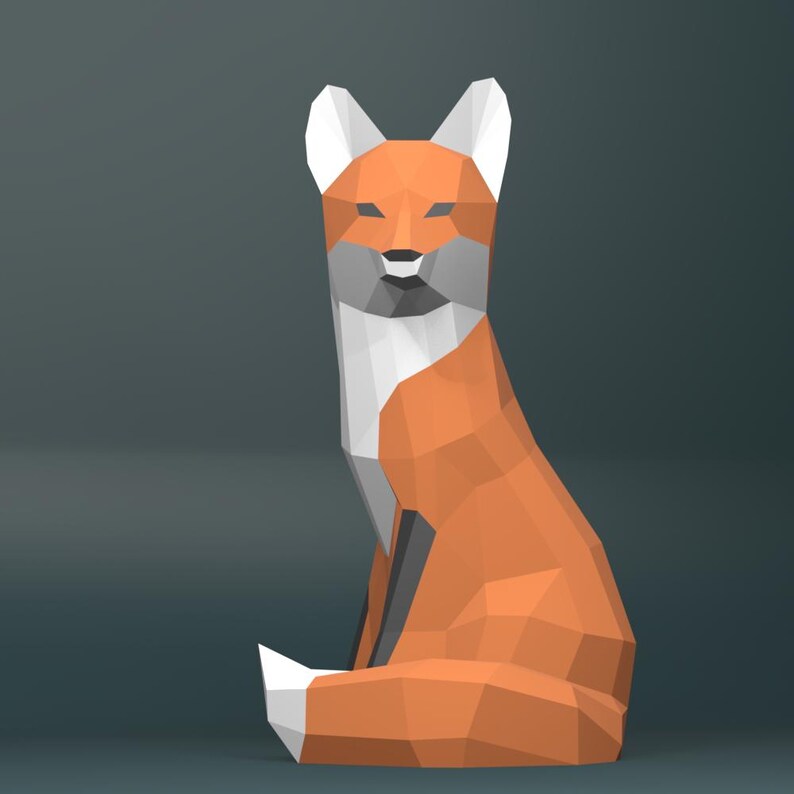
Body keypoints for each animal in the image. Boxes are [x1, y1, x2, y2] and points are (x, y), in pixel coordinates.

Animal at [258, 78, 635, 768]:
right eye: (370, 210)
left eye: (440, 210)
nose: (402, 253)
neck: (389, 387)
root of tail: (610, 716)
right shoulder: (383, 518)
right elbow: (367, 637)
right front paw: (353, 683)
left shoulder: (426, 507)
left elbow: (393, 644)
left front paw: (360, 705)